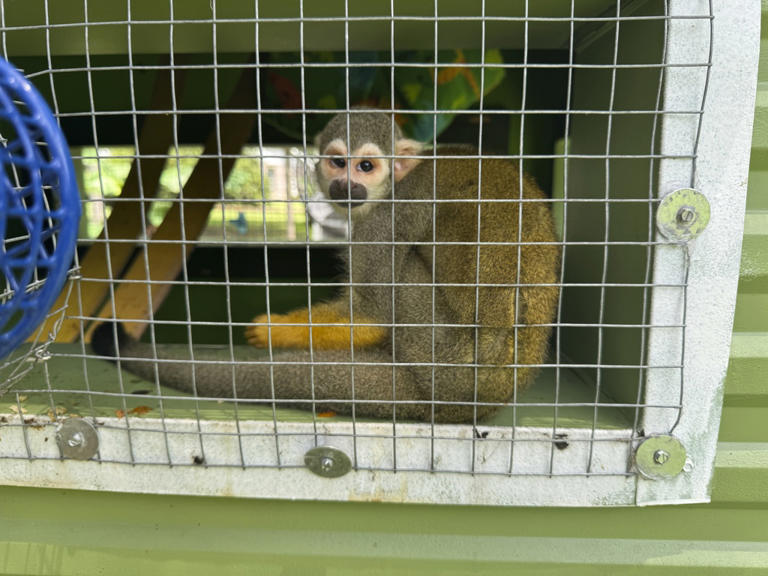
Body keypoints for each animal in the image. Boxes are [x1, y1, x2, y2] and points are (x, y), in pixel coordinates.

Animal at [92, 111, 559, 424]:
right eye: (337, 161)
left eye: (366, 166)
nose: (345, 185)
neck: (393, 184)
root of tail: (474, 402)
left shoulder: (385, 219)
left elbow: (371, 311)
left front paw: (278, 331)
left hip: (440, 353)